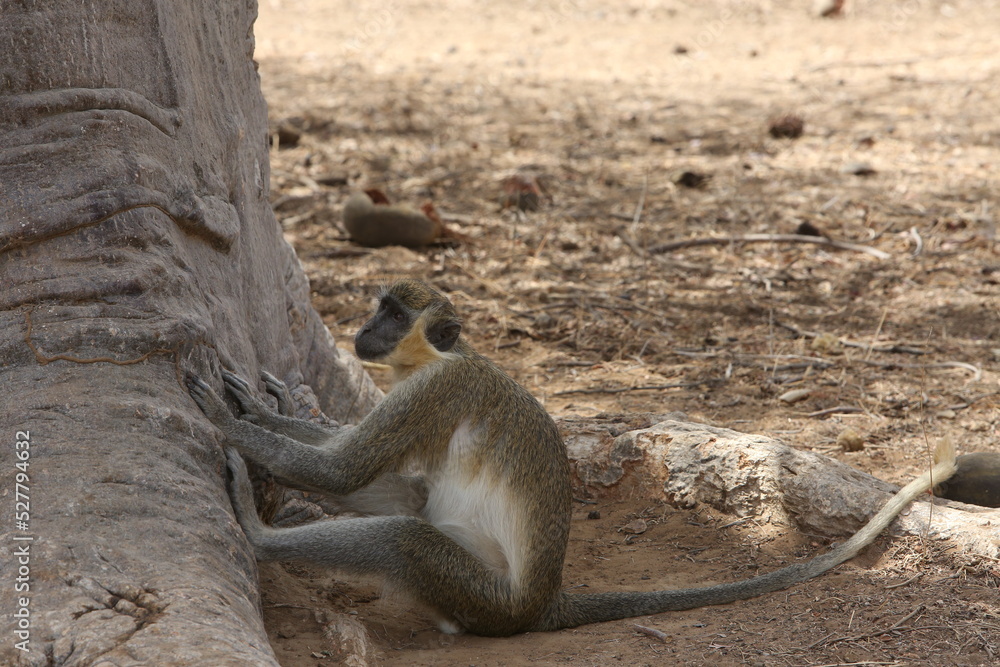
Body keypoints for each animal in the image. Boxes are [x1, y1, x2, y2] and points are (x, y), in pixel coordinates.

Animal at [187, 279, 958, 637]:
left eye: (394, 315)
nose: (362, 330)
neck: (442, 358)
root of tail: (544, 598)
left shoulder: (437, 391)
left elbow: (342, 467)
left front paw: (225, 419)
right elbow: (342, 456)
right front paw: (262, 406)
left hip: (483, 596)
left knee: (403, 535)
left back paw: (257, 532)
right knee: (409, 501)